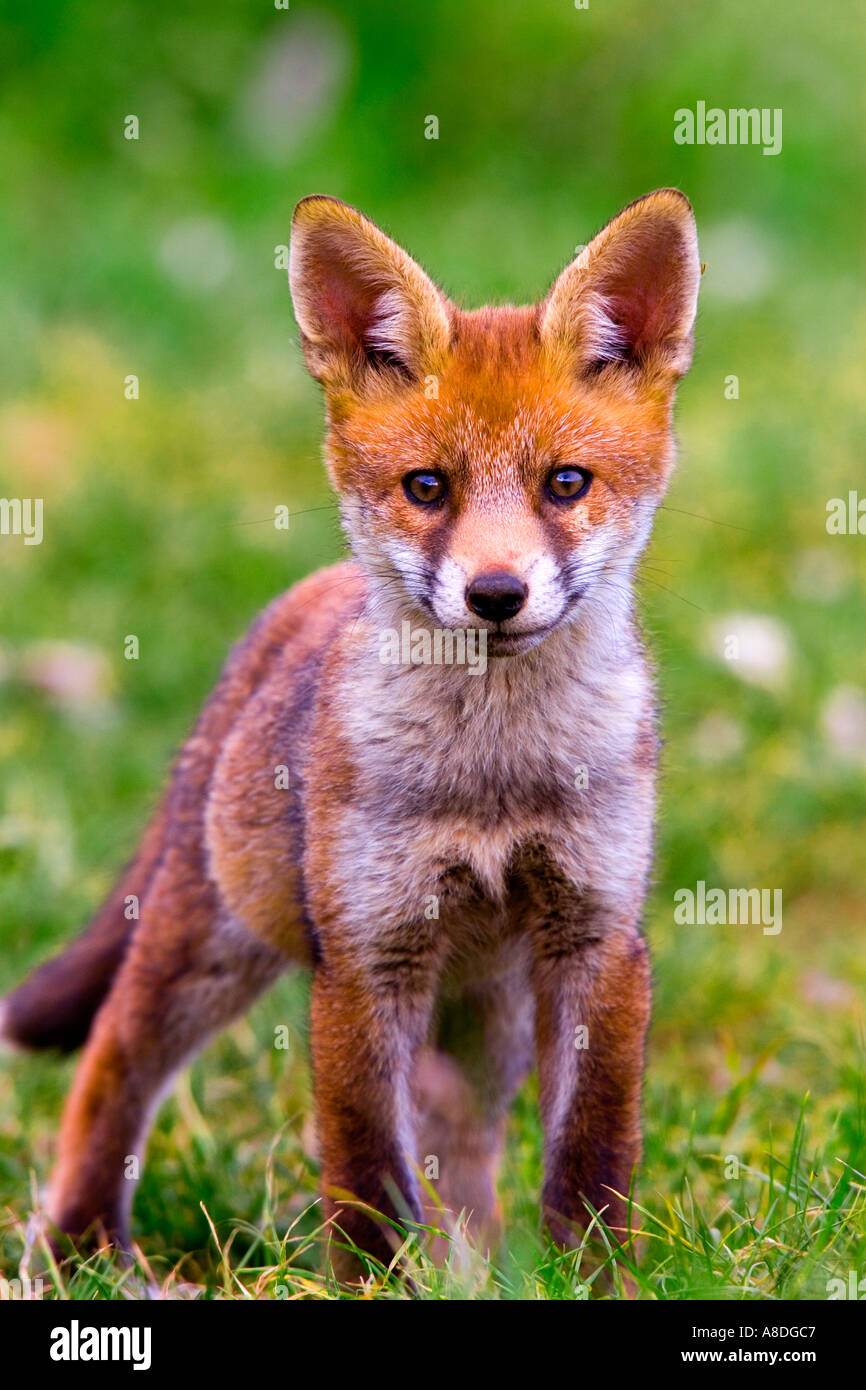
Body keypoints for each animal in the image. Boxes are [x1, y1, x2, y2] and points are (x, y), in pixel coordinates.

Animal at [1, 188, 701, 1279]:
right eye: (426, 487)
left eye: (564, 483)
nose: (494, 594)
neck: (492, 779)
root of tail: (297, 605)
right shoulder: (367, 949)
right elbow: (364, 1162)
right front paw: (371, 1283)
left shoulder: (596, 935)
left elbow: (591, 1147)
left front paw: (591, 1276)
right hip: (206, 941)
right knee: (114, 1057)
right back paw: (81, 1248)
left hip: (486, 1022)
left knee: (464, 1150)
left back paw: (473, 1273)